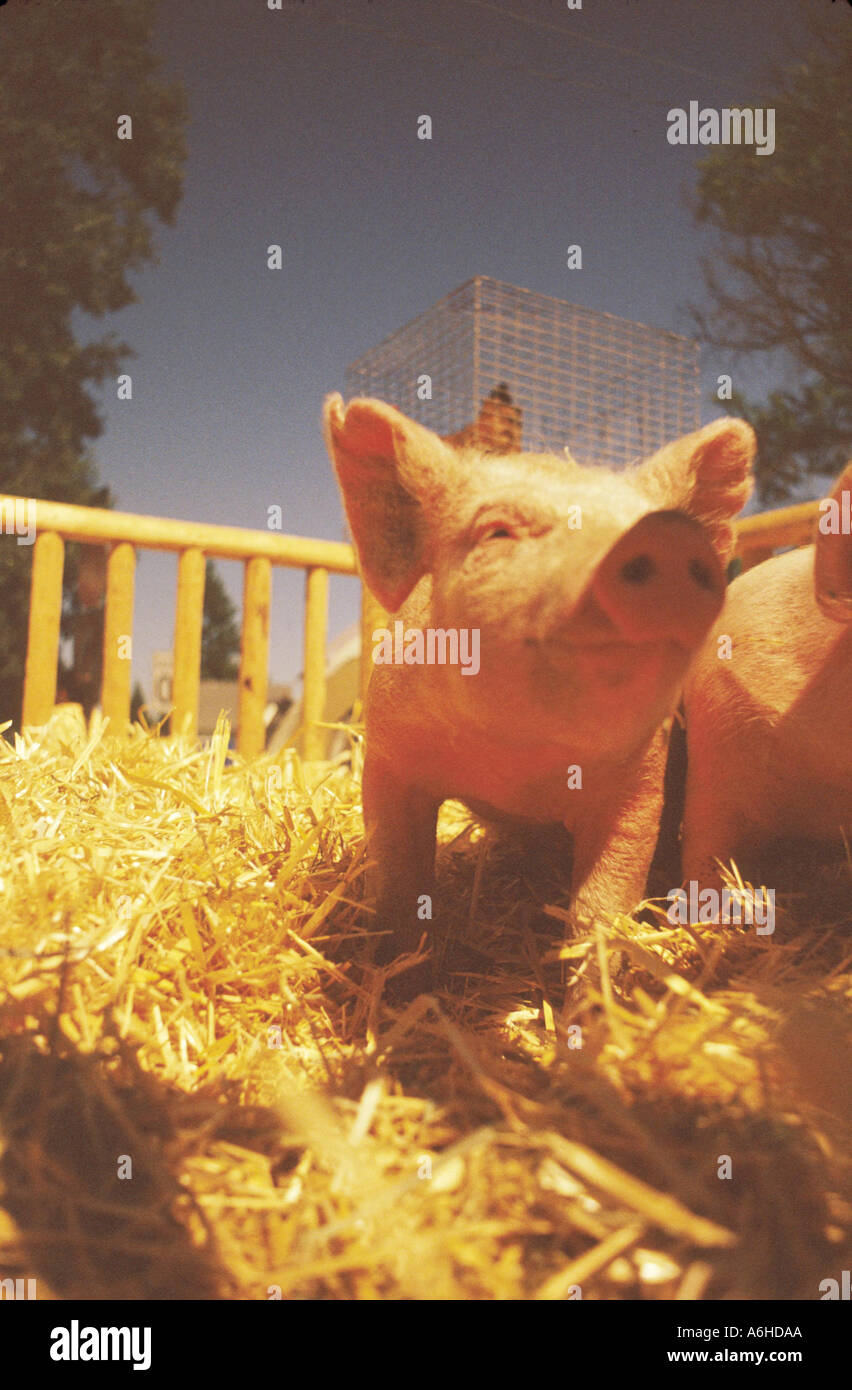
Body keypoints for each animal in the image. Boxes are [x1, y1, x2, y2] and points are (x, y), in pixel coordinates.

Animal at [324, 394, 755, 989]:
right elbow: (396, 886)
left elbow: (603, 908)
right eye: (497, 533)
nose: (667, 535)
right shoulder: (389, 759)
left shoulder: (640, 784)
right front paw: (400, 983)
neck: (521, 767)